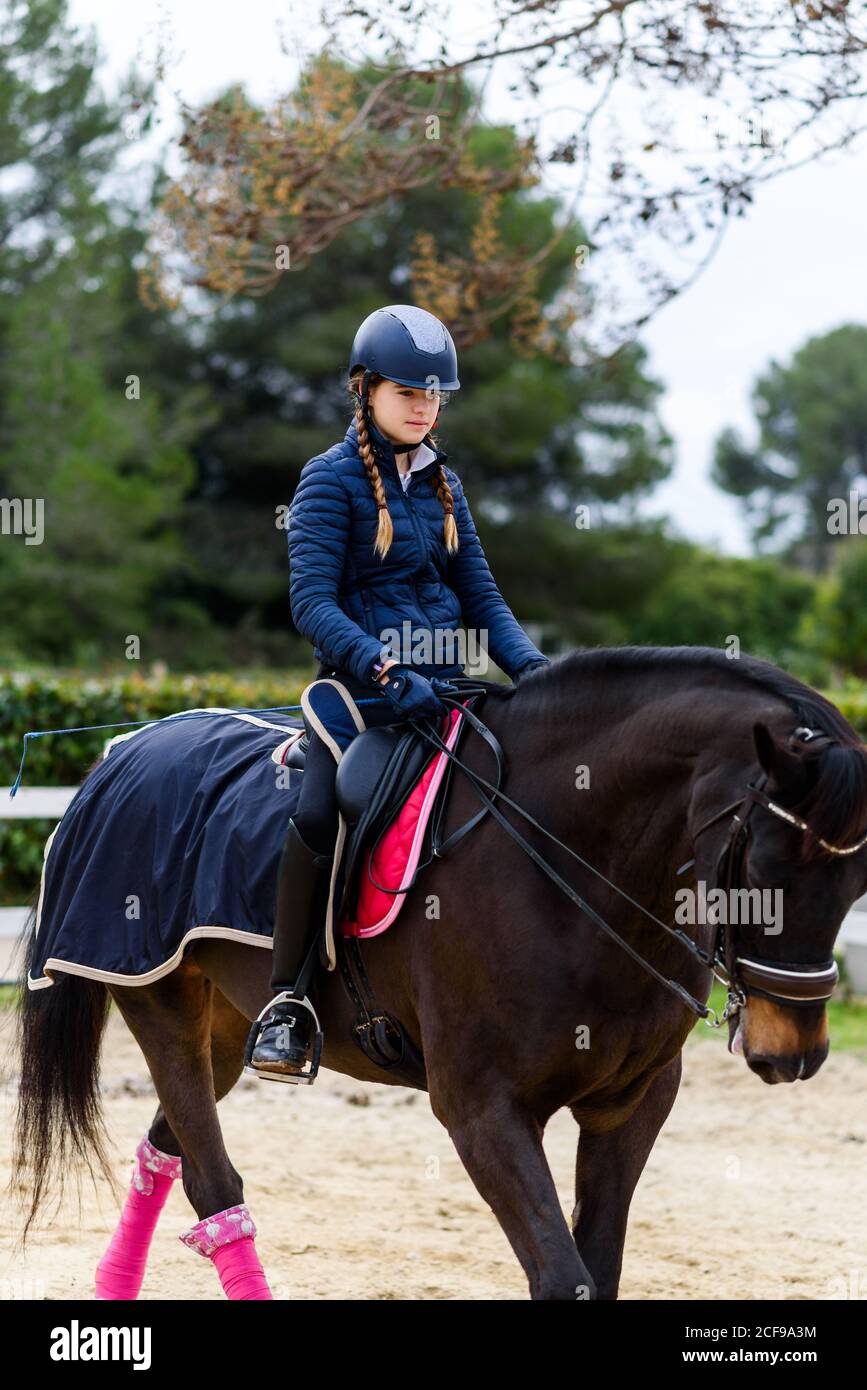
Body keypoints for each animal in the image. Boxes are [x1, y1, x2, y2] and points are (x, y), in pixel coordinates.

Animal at [10, 646, 867, 1300]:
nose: (791, 1052)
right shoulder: (481, 1109)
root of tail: (122, 756)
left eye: (854, 884)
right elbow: (564, 1279)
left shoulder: (632, 1102)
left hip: (222, 1025)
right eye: (761, 870)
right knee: (216, 1185)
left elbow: (600, 1272)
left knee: (169, 1147)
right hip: (158, 1004)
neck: (564, 853)